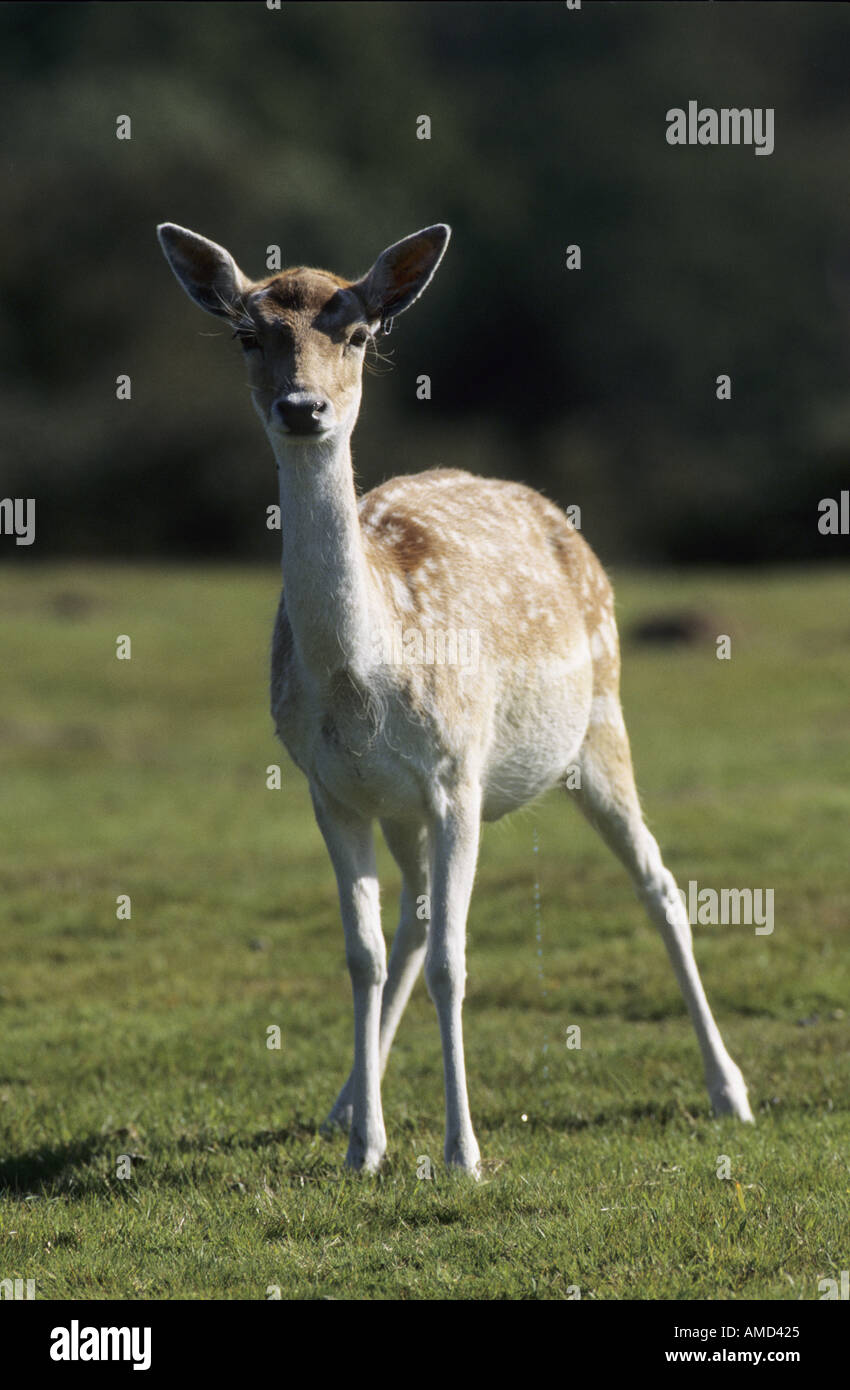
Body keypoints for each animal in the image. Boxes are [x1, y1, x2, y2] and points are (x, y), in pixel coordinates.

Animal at [157, 220, 754, 1177]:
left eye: (357, 332)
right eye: (249, 334)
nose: (303, 408)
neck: (364, 677)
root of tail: (550, 511)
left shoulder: (457, 774)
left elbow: (453, 962)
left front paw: (462, 1153)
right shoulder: (331, 788)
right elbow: (362, 954)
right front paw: (365, 1150)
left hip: (600, 721)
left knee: (659, 884)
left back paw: (729, 1093)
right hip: (409, 807)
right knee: (409, 919)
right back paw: (342, 1108)